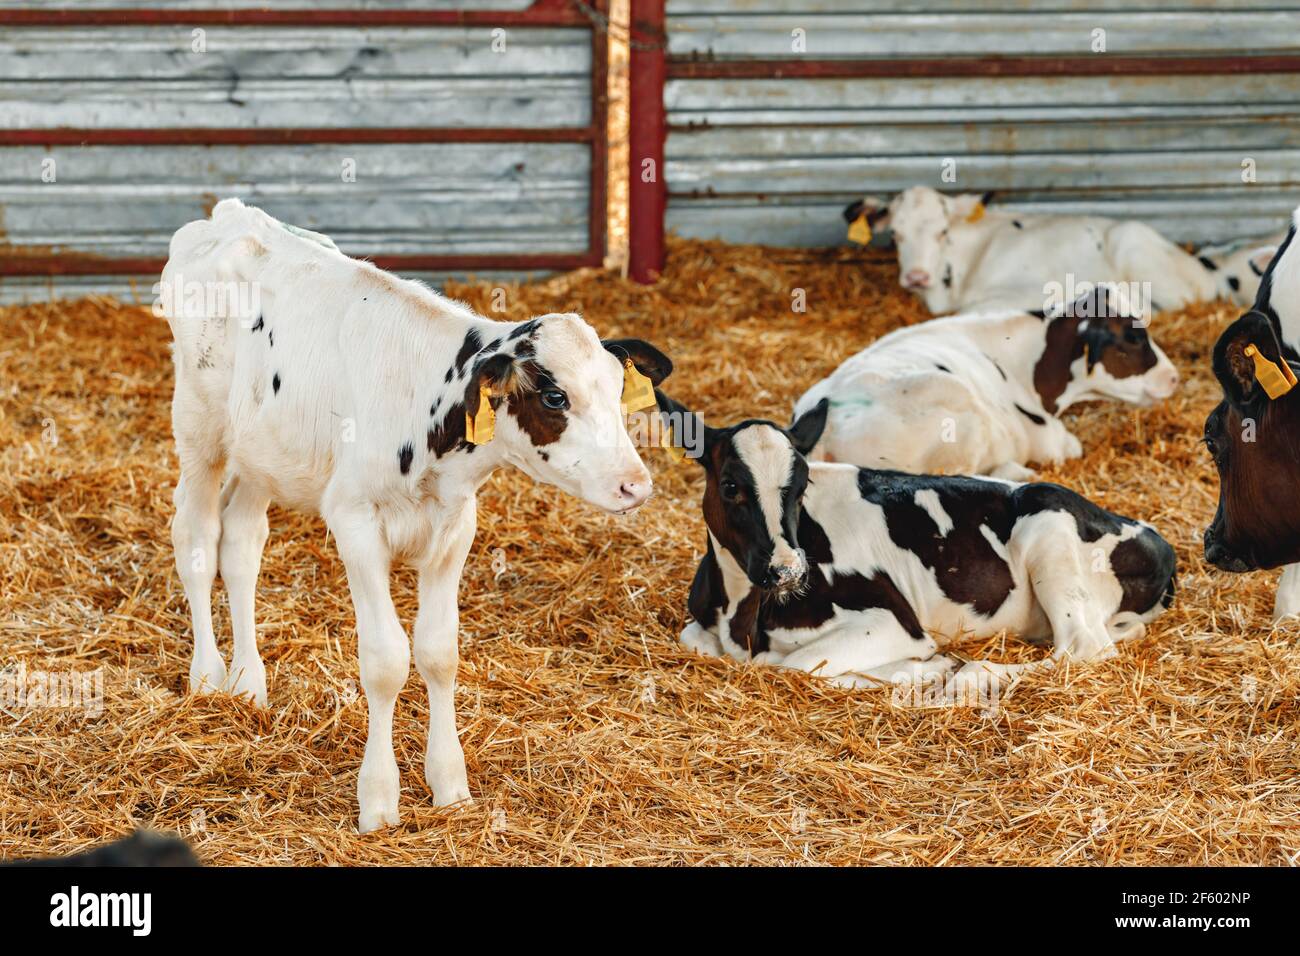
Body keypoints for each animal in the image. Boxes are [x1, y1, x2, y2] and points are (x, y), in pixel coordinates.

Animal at [163, 199, 672, 832]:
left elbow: (438, 652)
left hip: (265, 452)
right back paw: (207, 675)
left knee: (241, 543)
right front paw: (379, 800)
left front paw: (449, 784)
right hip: (199, 429)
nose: (636, 483)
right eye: (556, 397)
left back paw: (248, 681)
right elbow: (386, 661)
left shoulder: (455, 529)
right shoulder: (355, 523)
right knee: (197, 539)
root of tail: (230, 215)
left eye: (616, 390)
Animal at [656, 393, 1177, 696]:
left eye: (802, 485)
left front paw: (920, 669)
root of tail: (1154, 537)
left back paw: (972, 674)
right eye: (730, 486)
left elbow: (796, 666)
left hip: (1048, 528)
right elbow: (695, 639)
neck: (742, 616)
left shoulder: (891, 621)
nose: (789, 570)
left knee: (1083, 647)